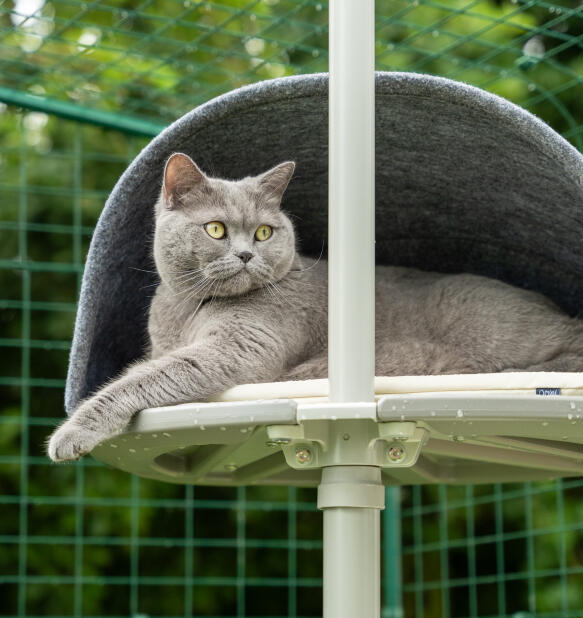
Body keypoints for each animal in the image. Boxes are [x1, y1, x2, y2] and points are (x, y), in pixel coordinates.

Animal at [46, 153, 583, 462]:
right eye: (216, 229)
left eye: (264, 231)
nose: (247, 254)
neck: (189, 309)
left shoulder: (243, 346)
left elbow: (141, 379)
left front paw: (72, 432)